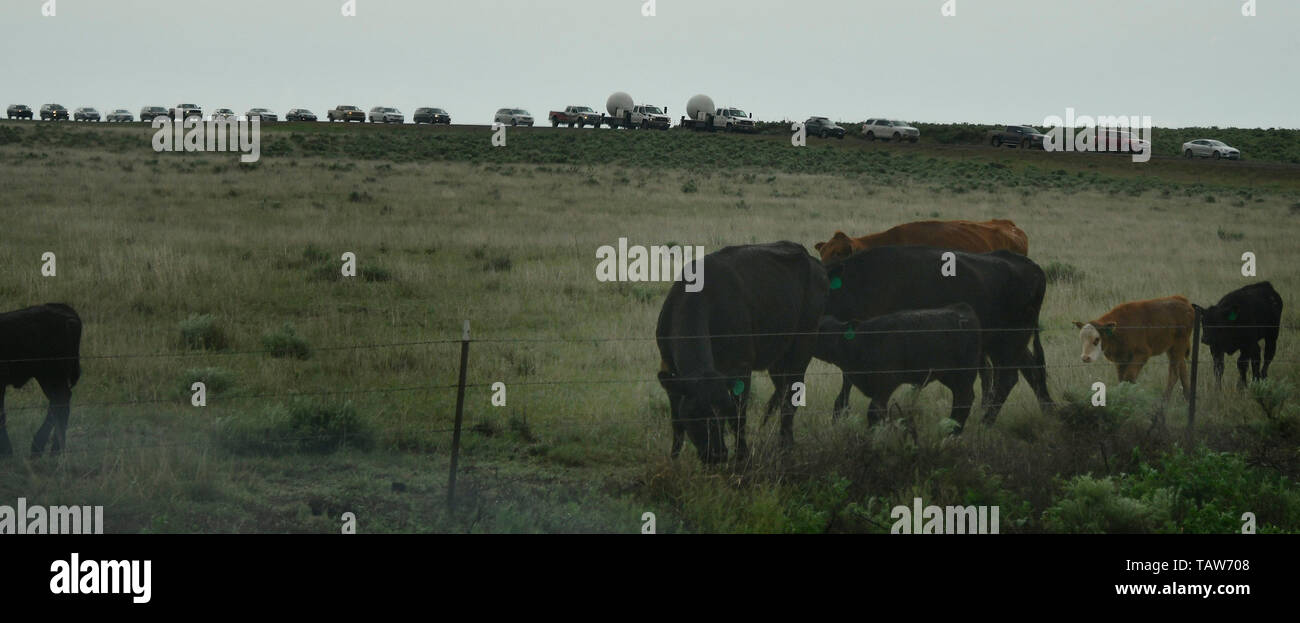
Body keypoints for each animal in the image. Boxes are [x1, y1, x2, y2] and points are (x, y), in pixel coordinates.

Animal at [0, 303, 83, 457]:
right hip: (49, 377)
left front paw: (6, 452)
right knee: (59, 402)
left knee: (60, 401)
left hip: (51, 375)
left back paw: (46, 448)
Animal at [656, 241, 827, 464]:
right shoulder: (670, 368)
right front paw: (673, 459)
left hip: (804, 343)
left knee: (791, 396)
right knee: (782, 392)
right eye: (696, 417)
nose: (718, 454)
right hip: (777, 358)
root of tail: (811, 259)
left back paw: (785, 447)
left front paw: (742, 456)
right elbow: (676, 421)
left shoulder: (741, 367)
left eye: (721, 413)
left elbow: (739, 416)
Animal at [813, 303, 982, 430]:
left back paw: (953, 432)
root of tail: (961, 309)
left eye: (821, 330)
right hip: (950, 376)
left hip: (965, 373)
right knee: (960, 400)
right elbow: (841, 403)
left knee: (964, 400)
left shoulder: (887, 382)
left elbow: (874, 412)